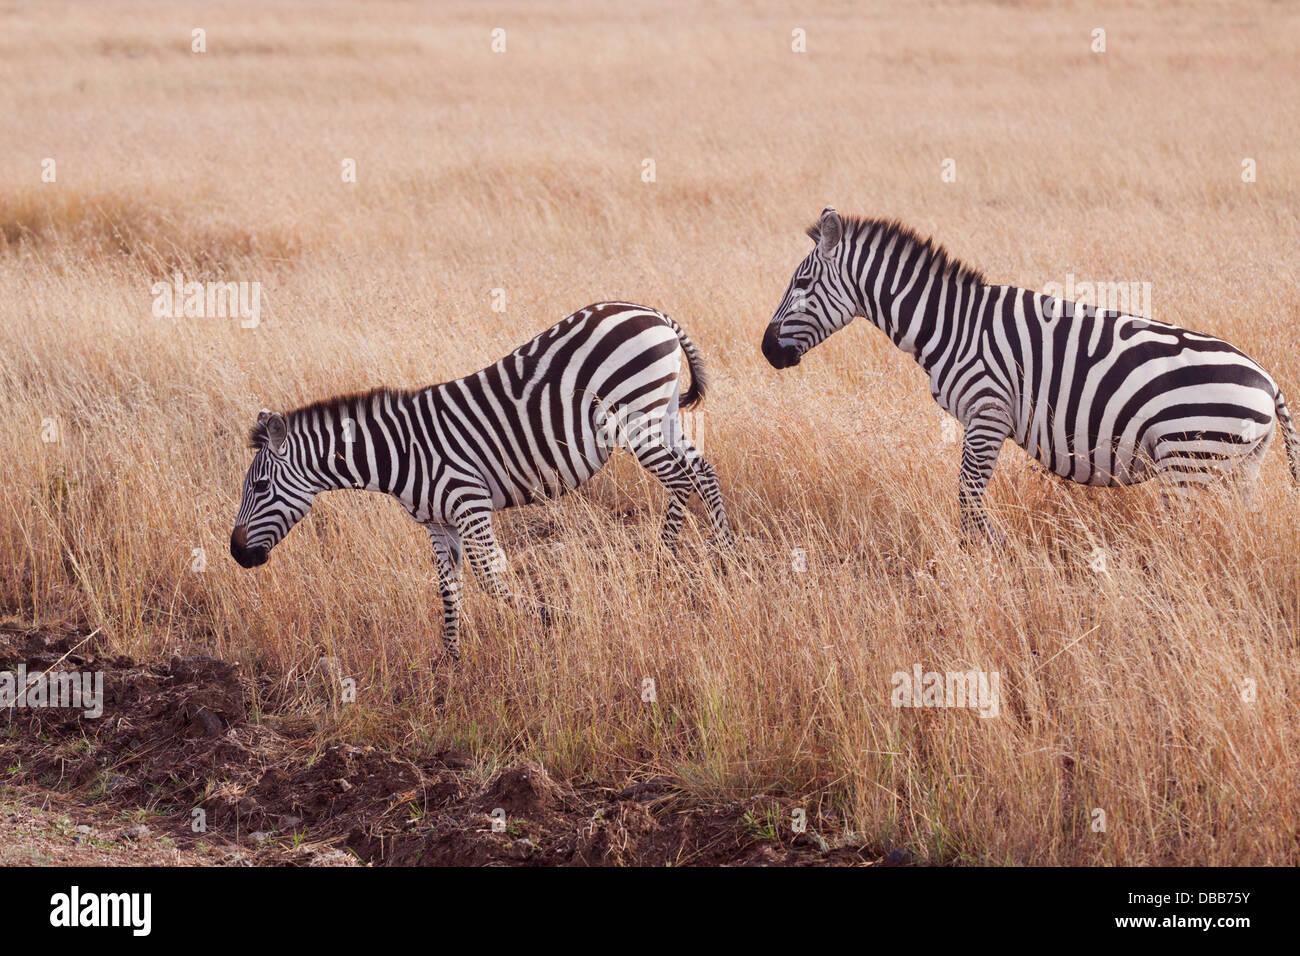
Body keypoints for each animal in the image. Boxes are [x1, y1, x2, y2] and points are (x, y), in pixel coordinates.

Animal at [231, 301, 732, 661]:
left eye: (260, 488)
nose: (236, 555)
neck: (401, 452)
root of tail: (651, 312)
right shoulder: (438, 523)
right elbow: (448, 590)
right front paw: (450, 662)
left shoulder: (470, 503)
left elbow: (491, 579)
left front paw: (555, 620)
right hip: (662, 414)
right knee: (701, 472)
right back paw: (712, 558)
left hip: (636, 418)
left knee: (683, 479)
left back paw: (677, 561)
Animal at [762, 207, 1299, 541]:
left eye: (802, 282)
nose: (766, 350)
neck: (953, 325)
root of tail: (1268, 381)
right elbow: (969, 496)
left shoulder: (988, 412)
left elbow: (968, 496)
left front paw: (983, 555)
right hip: (1240, 467)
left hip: (1188, 461)